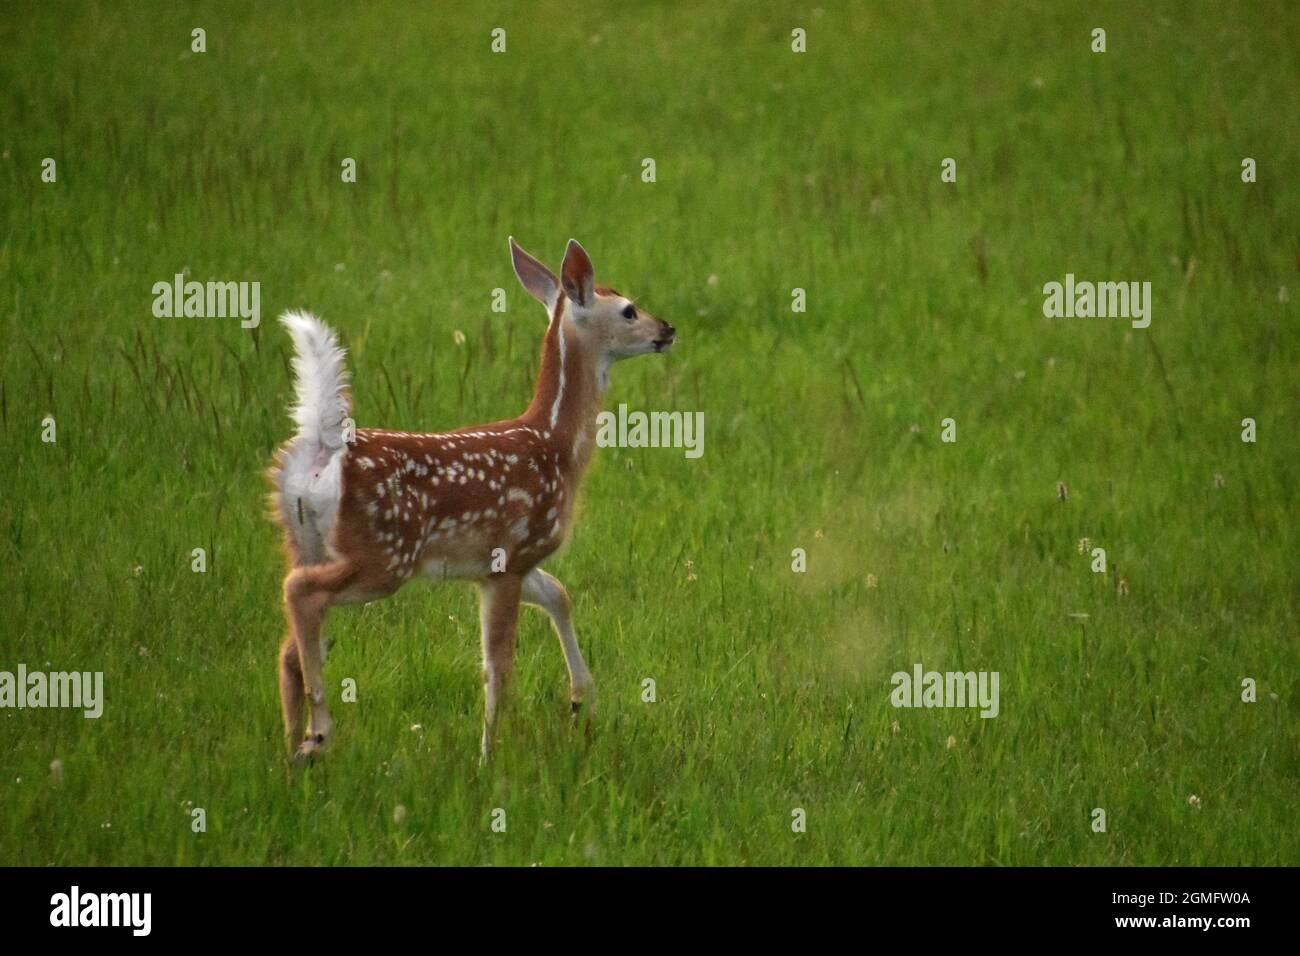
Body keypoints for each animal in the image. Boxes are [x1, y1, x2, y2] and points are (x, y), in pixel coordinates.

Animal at [268, 238, 675, 762]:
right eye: (628, 310)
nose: (667, 329)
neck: (555, 444)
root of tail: (324, 447)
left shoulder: (507, 562)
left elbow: (559, 595)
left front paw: (582, 701)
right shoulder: (508, 557)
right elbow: (498, 668)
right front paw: (489, 756)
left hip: (304, 540)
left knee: (290, 645)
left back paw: (293, 748)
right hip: (383, 553)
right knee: (302, 592)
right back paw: (318, 732)